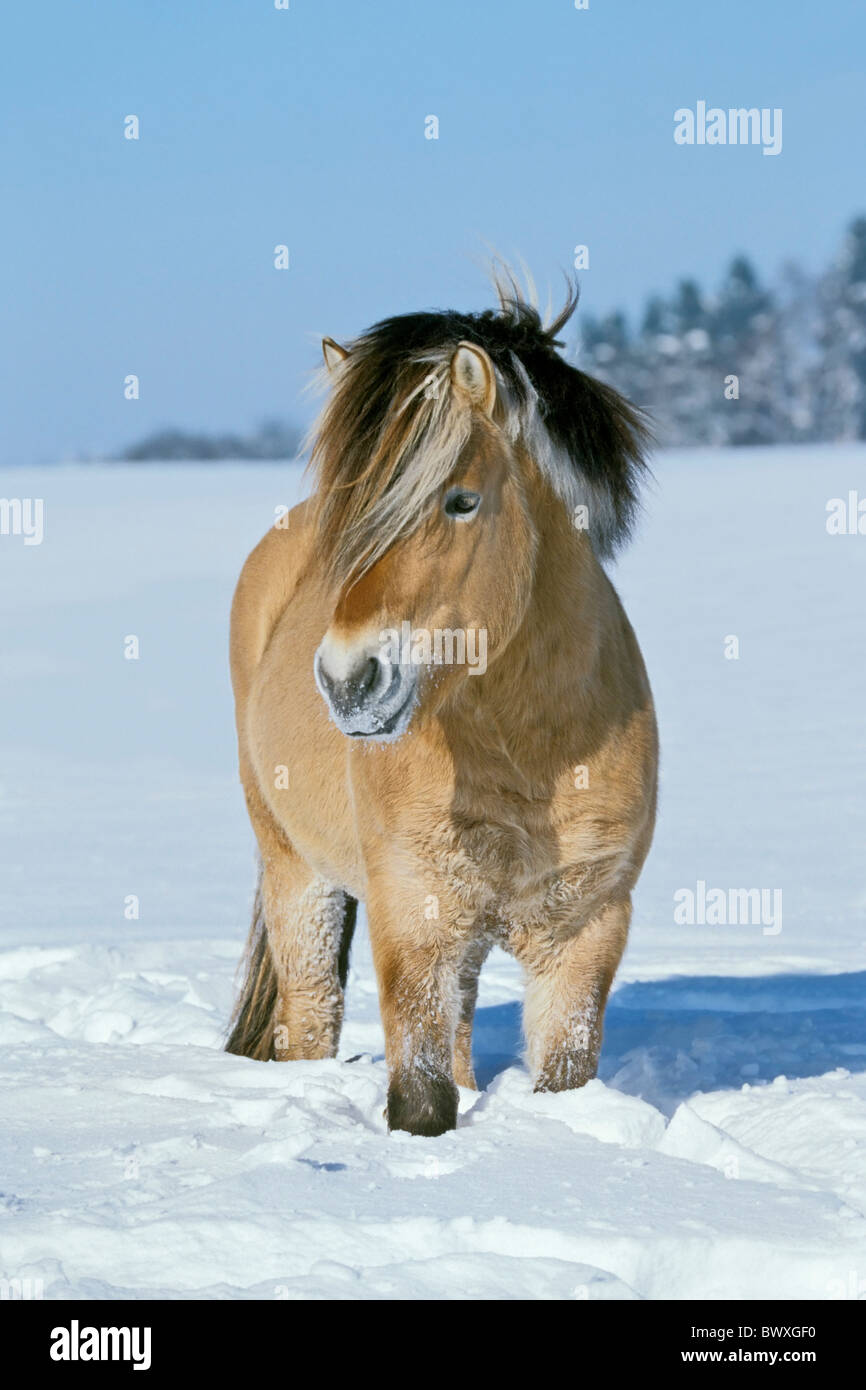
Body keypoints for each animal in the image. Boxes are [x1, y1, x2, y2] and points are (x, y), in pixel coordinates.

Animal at [226, 274, 658, 1137]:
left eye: (461, 501)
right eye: (347, 514)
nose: (349, 680)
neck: (527, 751)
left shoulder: (587, 928)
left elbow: (562, 1078)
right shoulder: (411, 913)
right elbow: (421, 1101)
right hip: (297, 872)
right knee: (311, 1017)